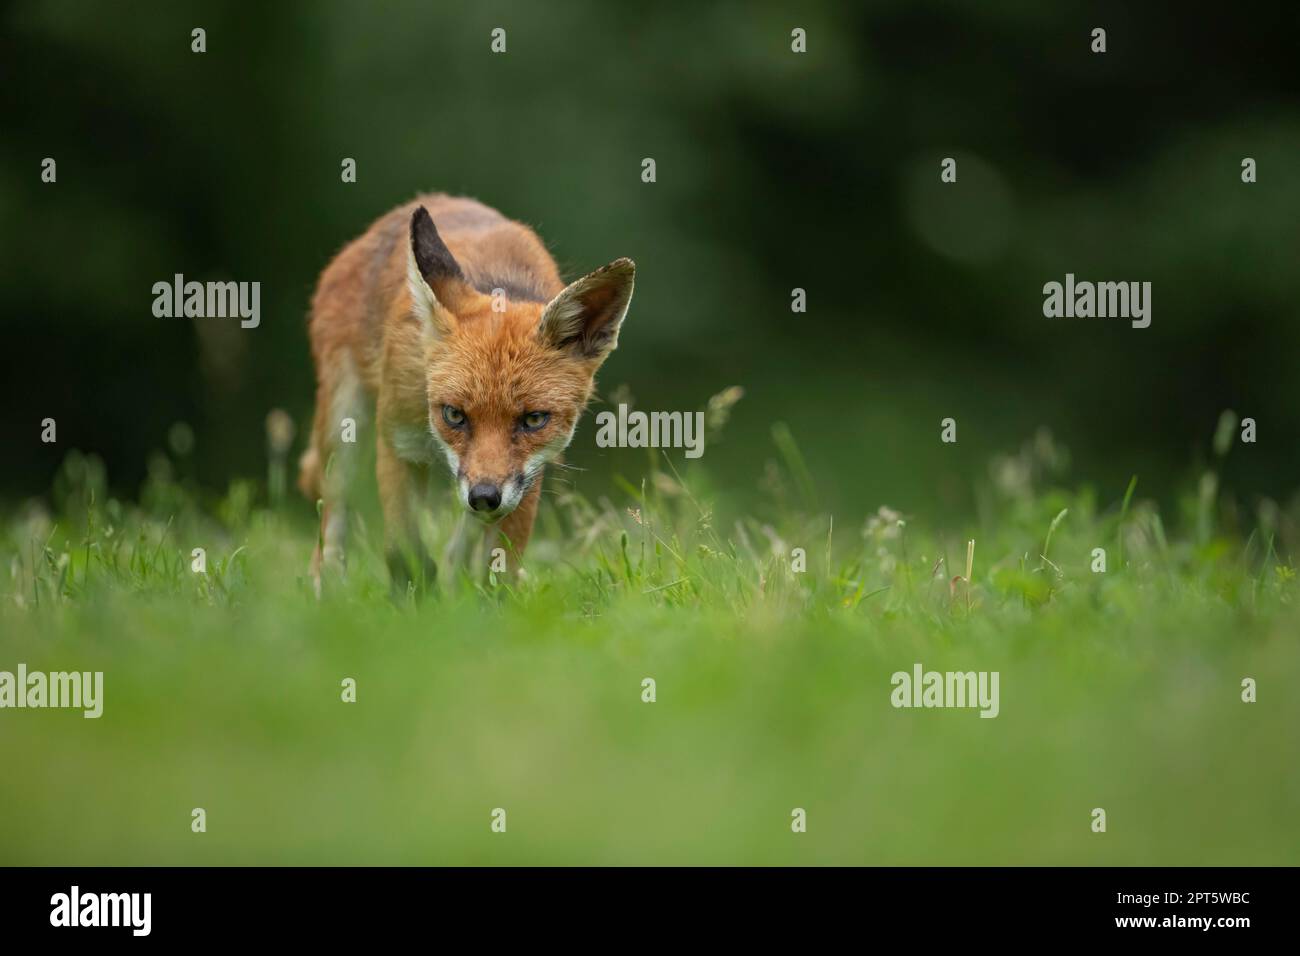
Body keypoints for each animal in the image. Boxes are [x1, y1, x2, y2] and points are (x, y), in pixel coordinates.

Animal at [298, 194, 635, 592]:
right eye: (454, 415)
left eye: (534, 419)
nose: (485, 497)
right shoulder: (400, 442)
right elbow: (403, 551)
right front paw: (414, 597)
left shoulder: (527, 474)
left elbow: (500, 566)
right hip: (345, 426)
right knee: (333, 518)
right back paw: (327, 588)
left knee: (458, 546)